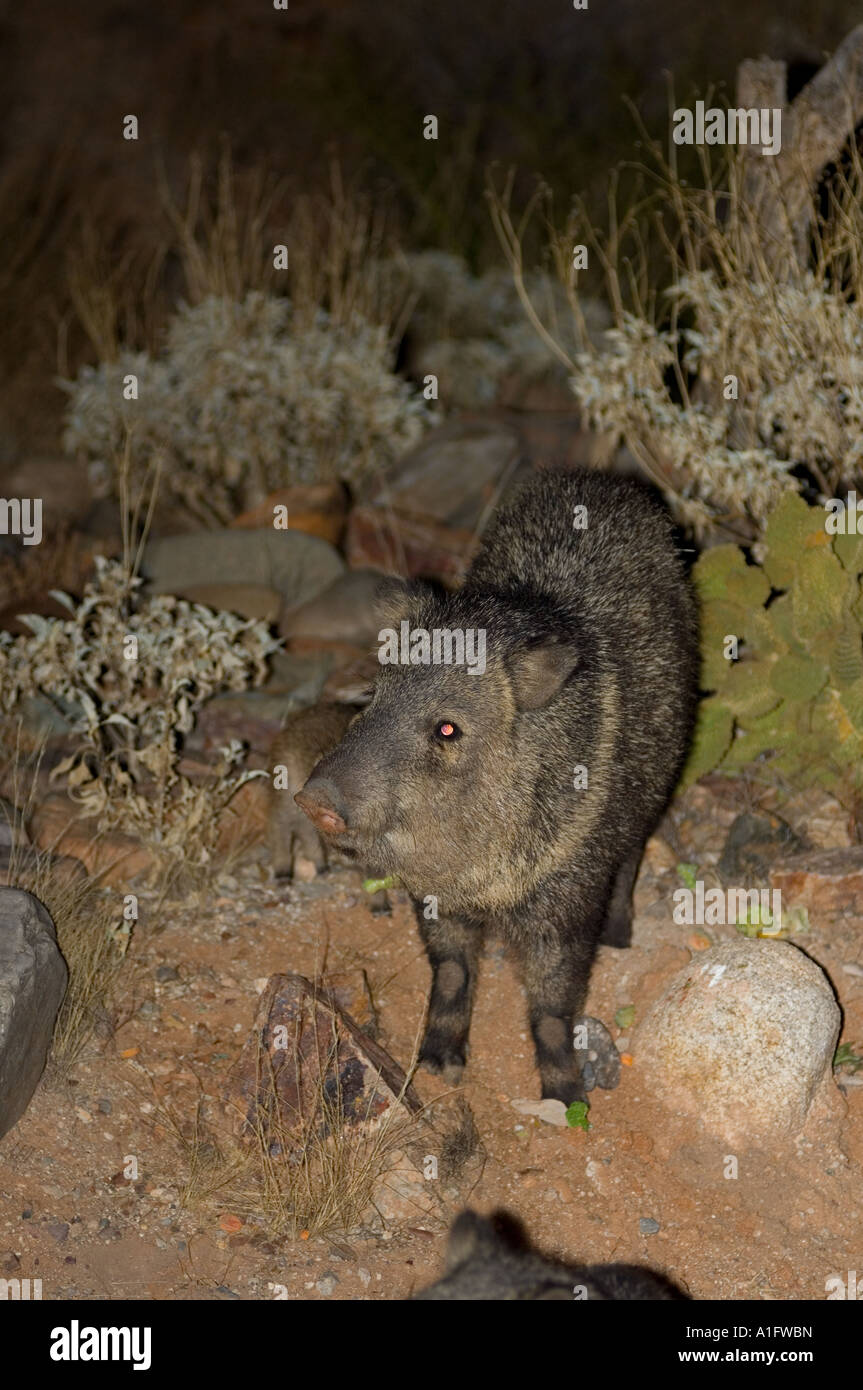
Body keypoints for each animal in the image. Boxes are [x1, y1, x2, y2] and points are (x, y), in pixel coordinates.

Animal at [295, 469, 699, 1103]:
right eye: (373, 697)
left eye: (447, 728)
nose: (312, 800)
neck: (475, 864)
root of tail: (607, 482)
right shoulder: (438, 899)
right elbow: (452, 972)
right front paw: (439, 1062)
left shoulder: (566, 902)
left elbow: (553, 1008)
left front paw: (566, 1096)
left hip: (657, 776)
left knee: (634, 850)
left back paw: (621, 934)